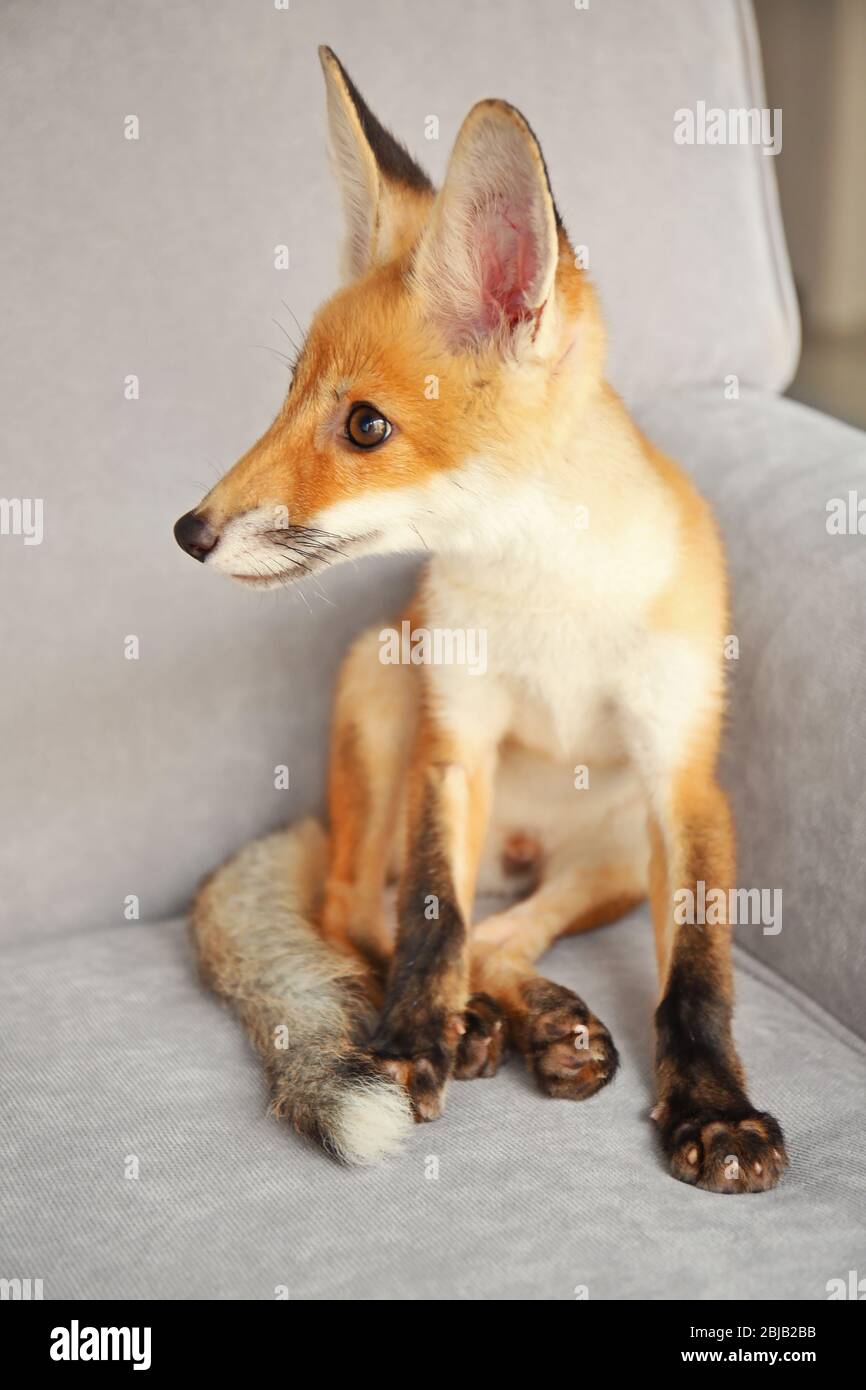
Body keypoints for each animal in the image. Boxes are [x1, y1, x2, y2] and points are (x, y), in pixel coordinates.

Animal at [175, 46, 788, 1192]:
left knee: (505, 936)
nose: (189, 531)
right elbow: (429, 917)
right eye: (288, 398)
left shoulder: (683, 774)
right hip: (382, 678)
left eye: (365, 427)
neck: (548, 601)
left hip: (612, 850)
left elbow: (695, 976)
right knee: (361, 908)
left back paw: (548, 1022)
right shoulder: (452, 742)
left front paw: (714, 1109)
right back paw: (480, 1023)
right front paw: (408, 1047)